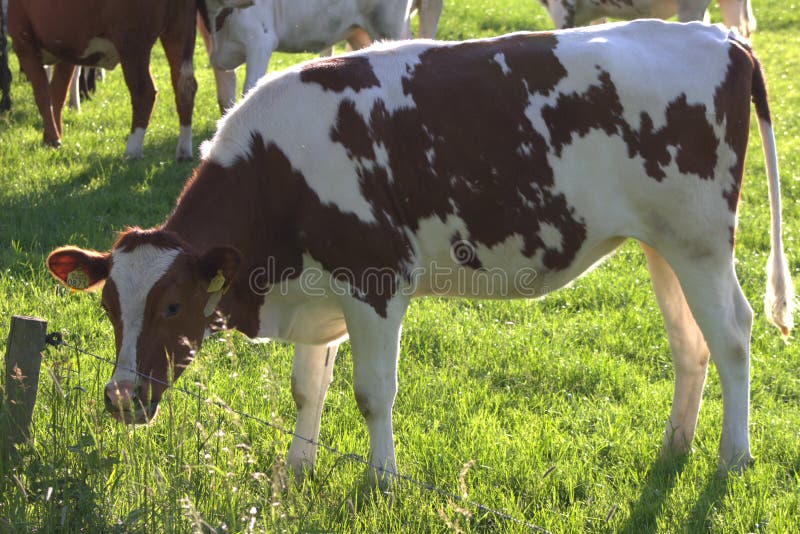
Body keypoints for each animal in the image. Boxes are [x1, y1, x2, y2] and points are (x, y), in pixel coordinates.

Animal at [7, 0, 208, 160]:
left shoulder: (23, 41)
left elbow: (42, 94)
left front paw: (52, 138)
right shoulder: (66, 51)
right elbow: (58, 93)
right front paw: (55, 135)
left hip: (132, 43)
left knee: (144, 92)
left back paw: (132, 150)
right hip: (179, 30)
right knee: (184, 87)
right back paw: (184, 151)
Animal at [47, 21, 793, 489]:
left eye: (173, 304)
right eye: (110, 308)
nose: (119, 398)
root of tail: (717, 36)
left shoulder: (374, 282)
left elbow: (372, 394)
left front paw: (381, 480)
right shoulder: (319, 290)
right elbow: (306, 389)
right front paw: (297, 470)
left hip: (700, 240)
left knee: (732, 335)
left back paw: (732, 458)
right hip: (661, 244)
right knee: (689, 343)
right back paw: (674, 447)